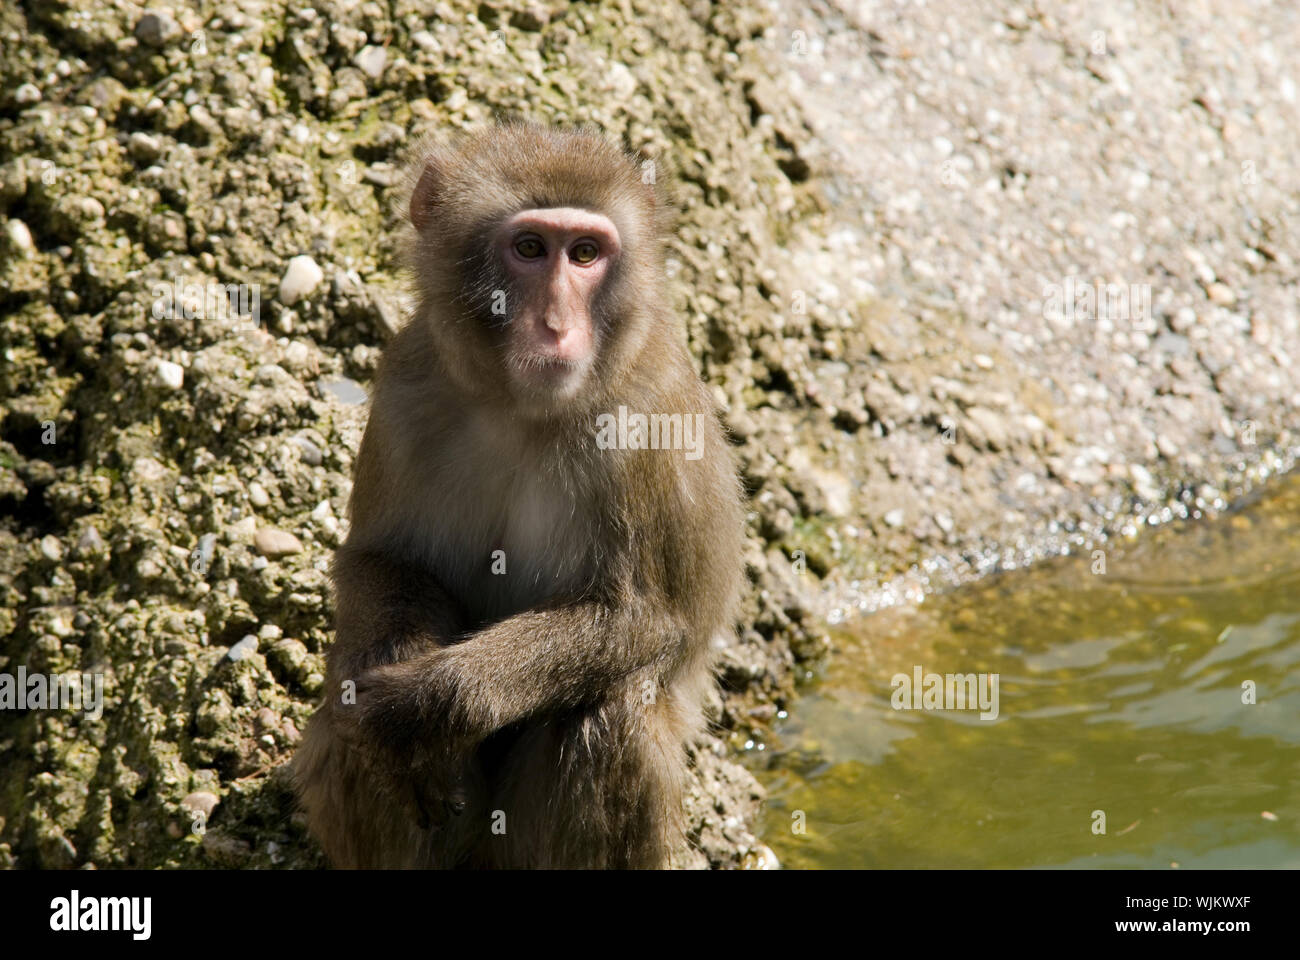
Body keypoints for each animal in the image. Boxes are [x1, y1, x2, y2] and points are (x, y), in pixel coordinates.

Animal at [293, 122, 746, 869]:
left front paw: (428, 703)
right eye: (530, 248)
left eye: (586, 253)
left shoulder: (648, 420)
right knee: (345, 713)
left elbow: (647, 621)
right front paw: (393, 679)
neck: (521, 411)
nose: (558, 326)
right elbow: (380, 563)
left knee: (612, 713)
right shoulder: (409, 382)